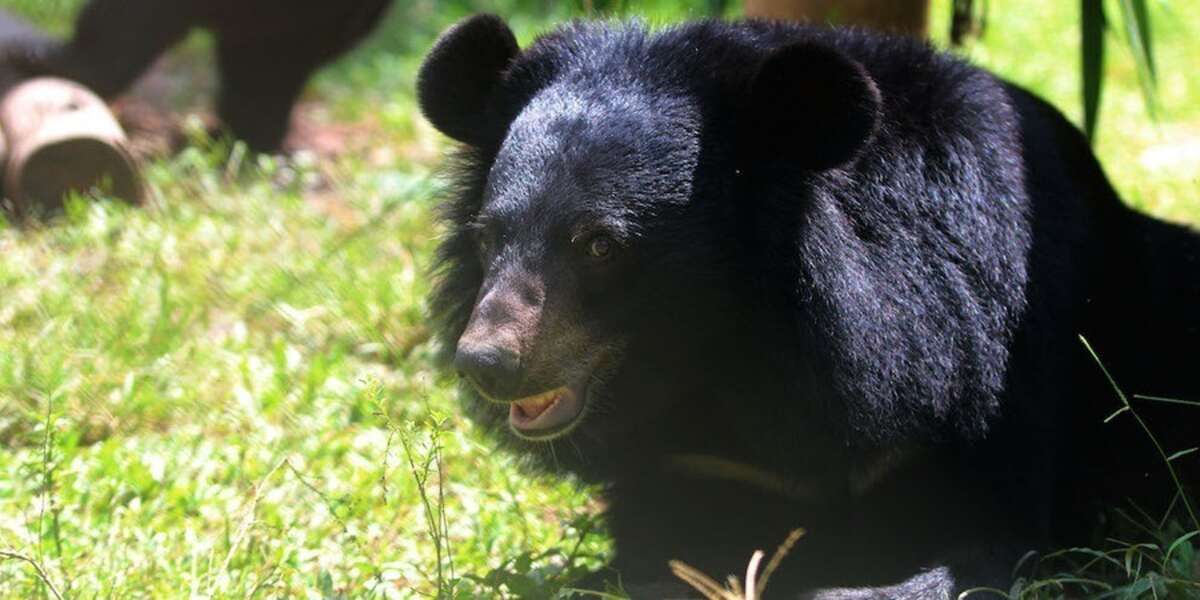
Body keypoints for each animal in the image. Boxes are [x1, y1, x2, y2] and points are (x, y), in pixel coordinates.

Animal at [417, 14, 1200, 598]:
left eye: (599, 245)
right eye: (489, 237)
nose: (486, 362)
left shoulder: (984, 370)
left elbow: (980, 537)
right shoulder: (696, 463)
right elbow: (660, 546)